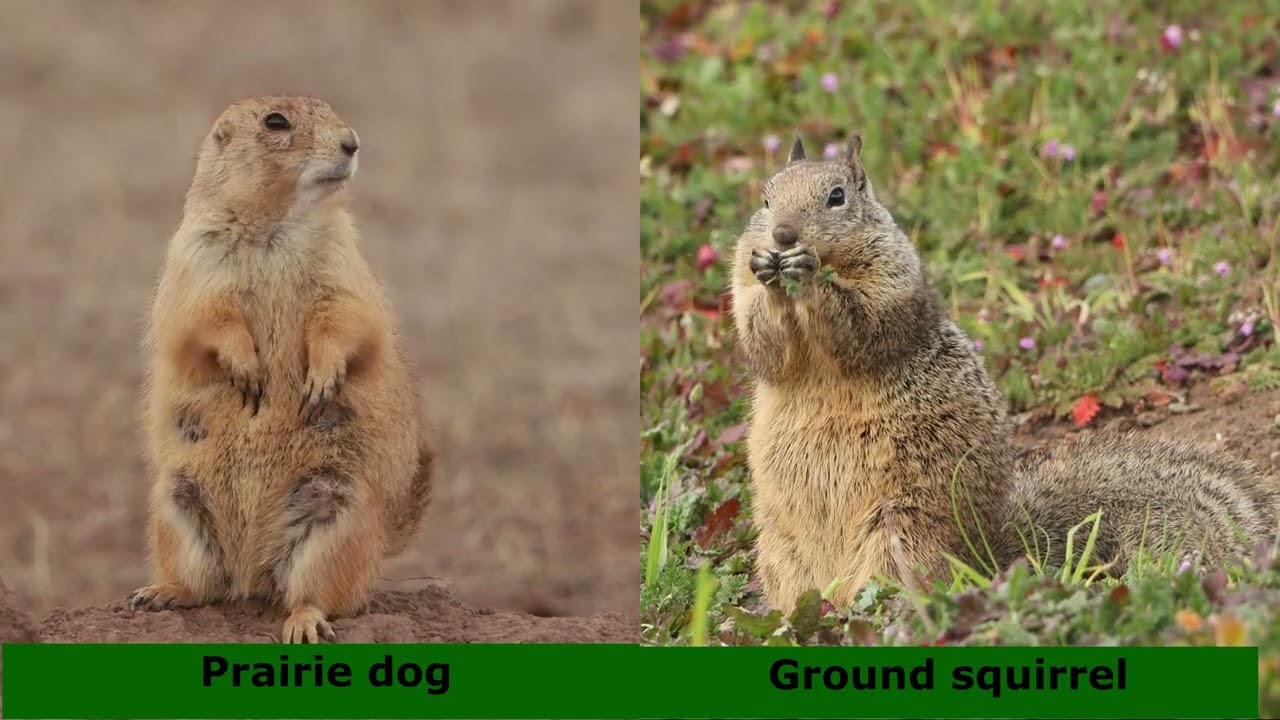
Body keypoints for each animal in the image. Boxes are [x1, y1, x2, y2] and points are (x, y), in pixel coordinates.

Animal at [129, 95, 435, 644]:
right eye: (276, 122)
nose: (353, 142)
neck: (271, 224)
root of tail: (252, 572)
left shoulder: (342, 260)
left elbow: (344, 316)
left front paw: (319, 382)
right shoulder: (193, 261)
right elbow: (206, 318)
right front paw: (249, 372)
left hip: (338, 518)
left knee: (316, 596)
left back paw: (304, 623)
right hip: (177, 503)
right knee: (206, 587)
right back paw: (158, 593)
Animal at [730, 134, 1279, 613]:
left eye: (837, 196)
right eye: (765, 197)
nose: (782, 235)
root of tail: (989, 556)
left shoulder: (891, 291)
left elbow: (857, 327)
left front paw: (805, 273)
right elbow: (763, 343)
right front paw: (767, 271)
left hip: (901, 533)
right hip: (782, 553)